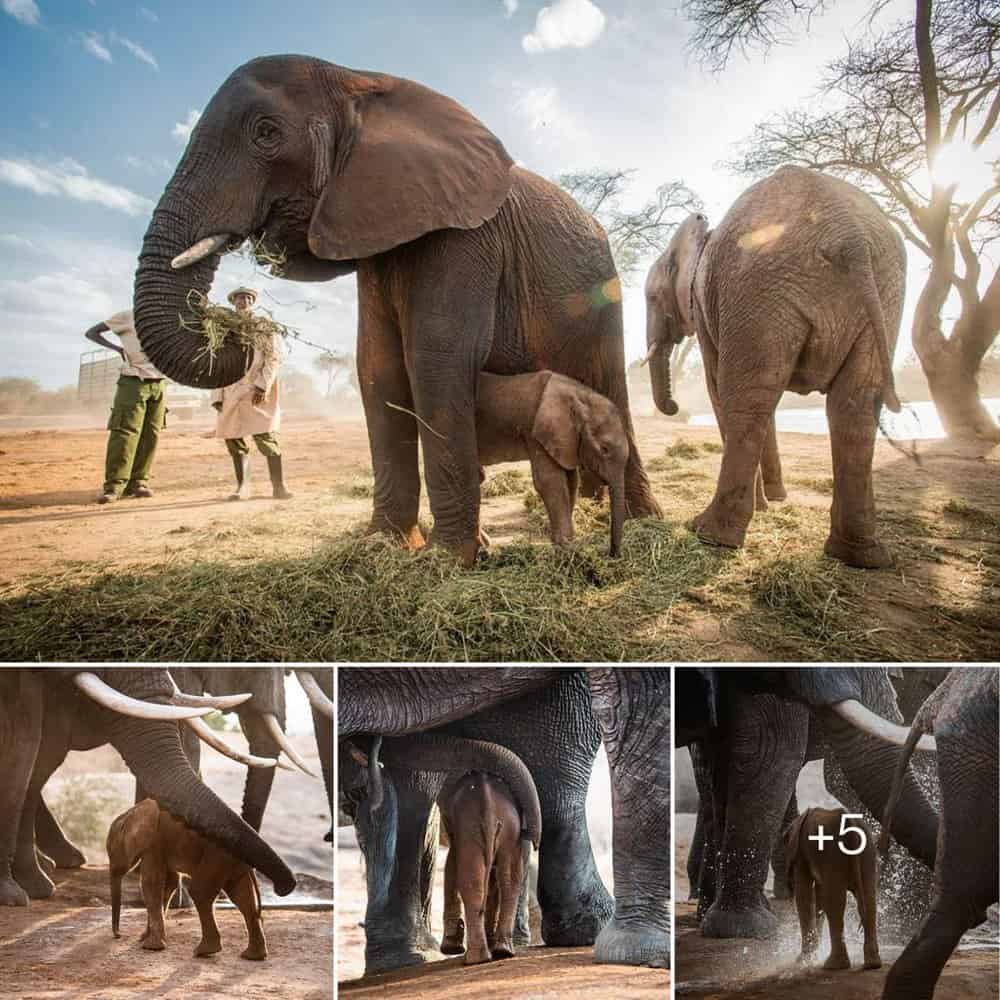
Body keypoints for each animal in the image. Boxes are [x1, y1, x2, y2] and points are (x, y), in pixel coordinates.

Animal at [108, 797, 267, 960]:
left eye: (112, 853)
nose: (118, 935)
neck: (131, 814)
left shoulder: (154, 843)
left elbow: (151, 883)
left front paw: (150, 947)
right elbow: (169, 884)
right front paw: (145, 938)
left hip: (217, 855)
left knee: (200, 892)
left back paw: (204, 951)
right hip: (230, 860)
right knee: (242, 897)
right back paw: (252, 956)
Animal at [476, 371, 630, 555]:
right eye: (604, 449)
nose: (612, 554)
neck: (580, 395)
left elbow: (571, 481)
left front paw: (565, 544)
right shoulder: (536, 434)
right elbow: (550, 481)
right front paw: (566, 547)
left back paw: (484, 544)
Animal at [646, 165, 906, 568]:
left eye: (652, 298)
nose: (674, 408)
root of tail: (847, 234)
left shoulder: (709, 309)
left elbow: (719, 389)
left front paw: (765, 506)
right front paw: (773, 503)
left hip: (758, 287)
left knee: (746, 399)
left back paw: (709, 534)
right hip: (875, 289)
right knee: (854, 404)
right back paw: (860, 556)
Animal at [784, 806, 881, 971]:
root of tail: (850, 820)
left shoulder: (802, 853)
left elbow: (805, 895)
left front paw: (802, 961)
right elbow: (819, 895)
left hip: (833, 854)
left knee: (835, 903)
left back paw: (833, 966)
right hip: (867, 851)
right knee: (869, 901)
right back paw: (872, 965)